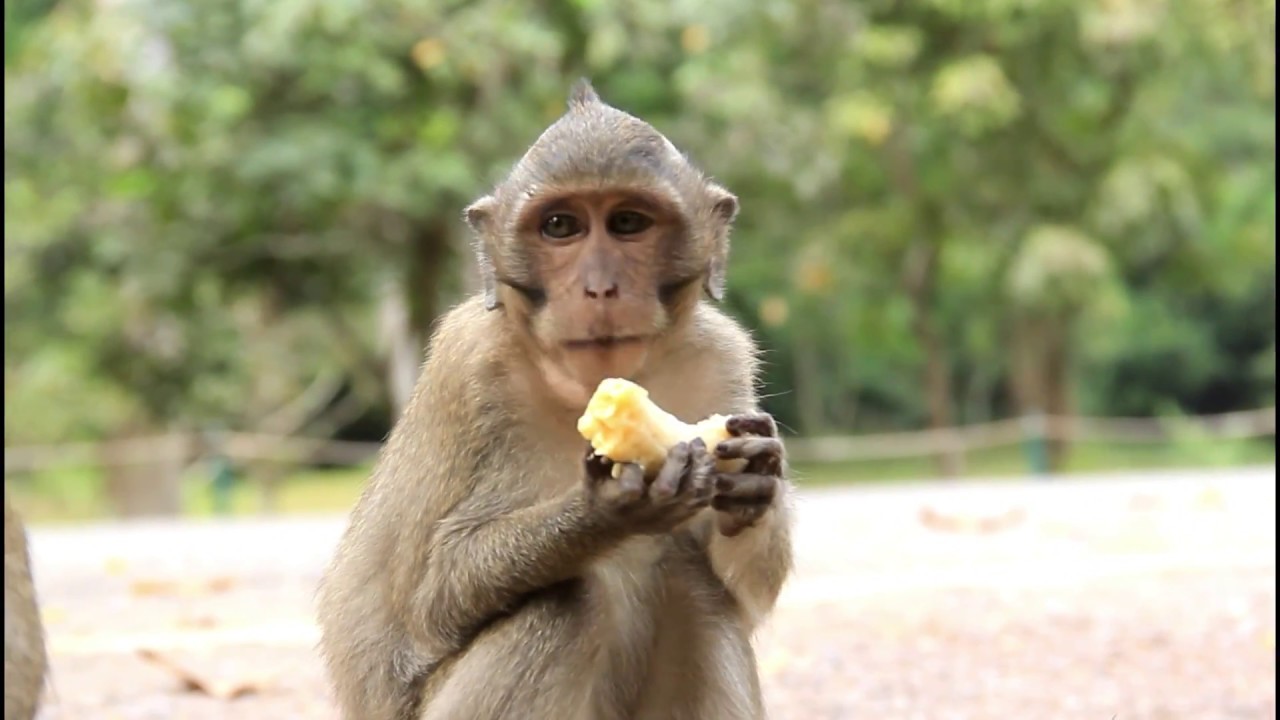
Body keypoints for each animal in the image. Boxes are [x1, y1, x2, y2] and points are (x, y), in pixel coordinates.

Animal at [315, 79, 794, 720]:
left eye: (628, 222)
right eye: (562, 226)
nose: (599, 287)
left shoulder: (723, 355)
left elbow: (747, 589)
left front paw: (755, 476)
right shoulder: (469, 368)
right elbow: (431, 595)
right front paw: (602, 510)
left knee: (697, 590)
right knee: (560, 609)